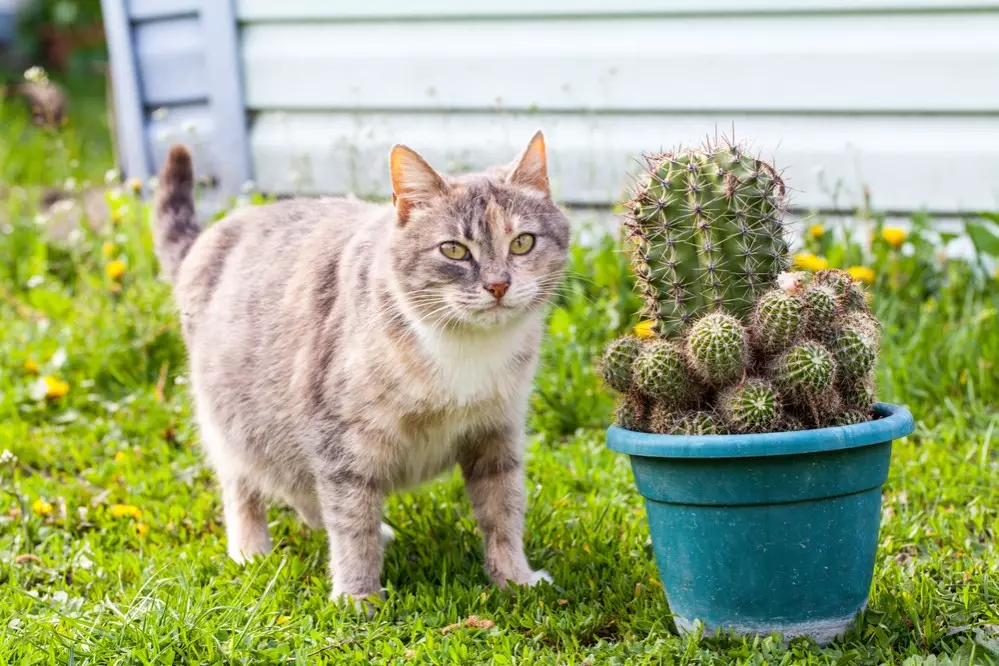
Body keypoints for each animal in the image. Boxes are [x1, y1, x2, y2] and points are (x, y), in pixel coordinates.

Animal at [150, 131, 572, 608]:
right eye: (454, 250)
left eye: (522, 242)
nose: (498, 285)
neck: (464, 350)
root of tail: (207, 237)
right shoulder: (340, 440)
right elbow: (352, 523)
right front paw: (357, 598)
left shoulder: (497, 433)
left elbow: (504, 509)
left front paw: (514, 578)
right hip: (232, 421)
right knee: (244, 486)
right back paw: (250, 553)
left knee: (299, 485)